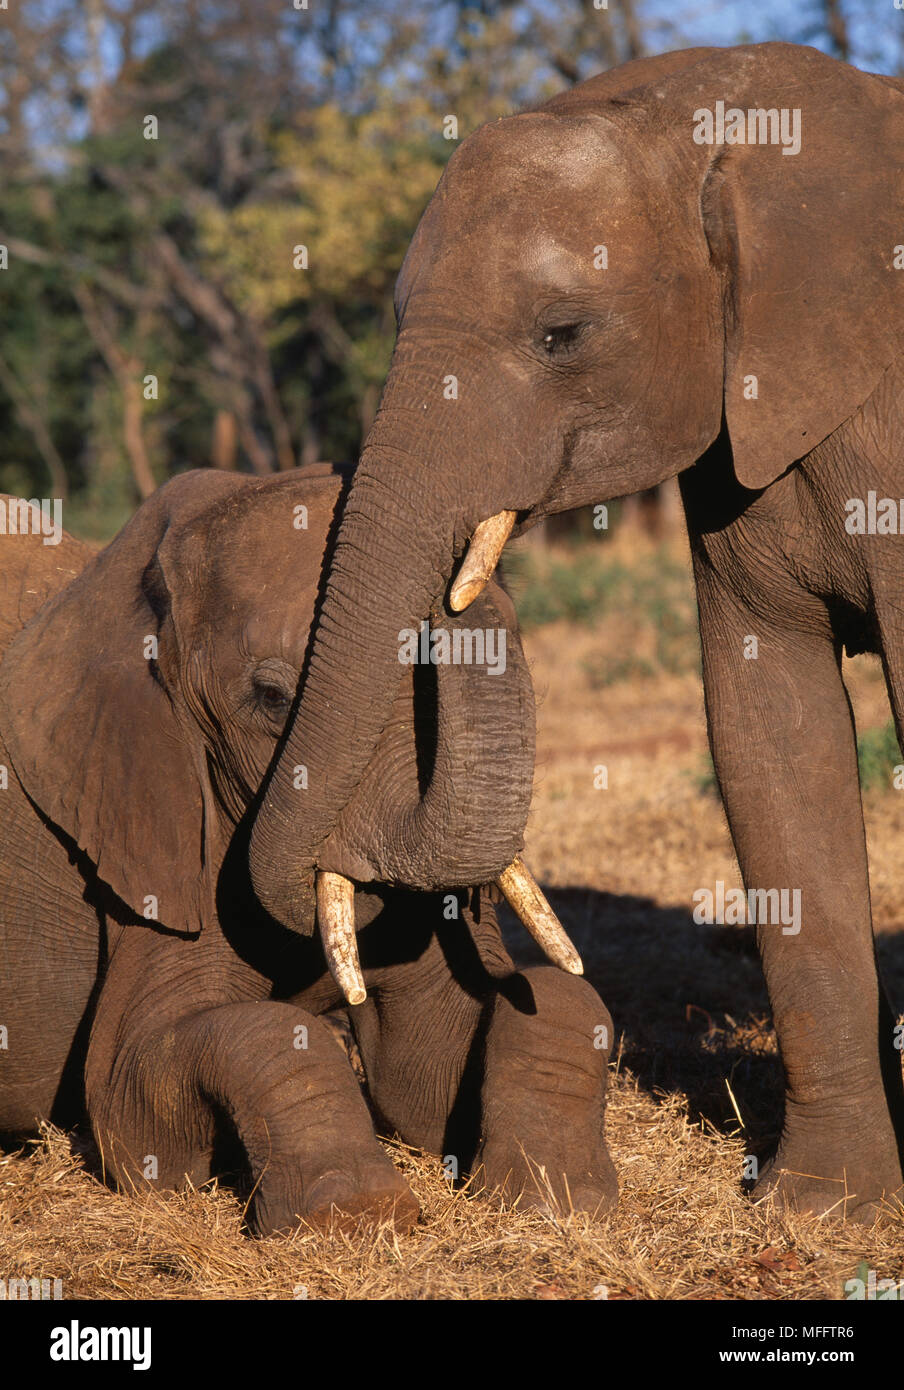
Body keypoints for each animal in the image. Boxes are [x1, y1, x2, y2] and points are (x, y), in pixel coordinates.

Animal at [0, 468, 616, 1234]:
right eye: (270, 698)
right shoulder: (142, 825)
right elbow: (133, 1099)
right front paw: (353, 1215)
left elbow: (459, 1044)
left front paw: (563, 1199)